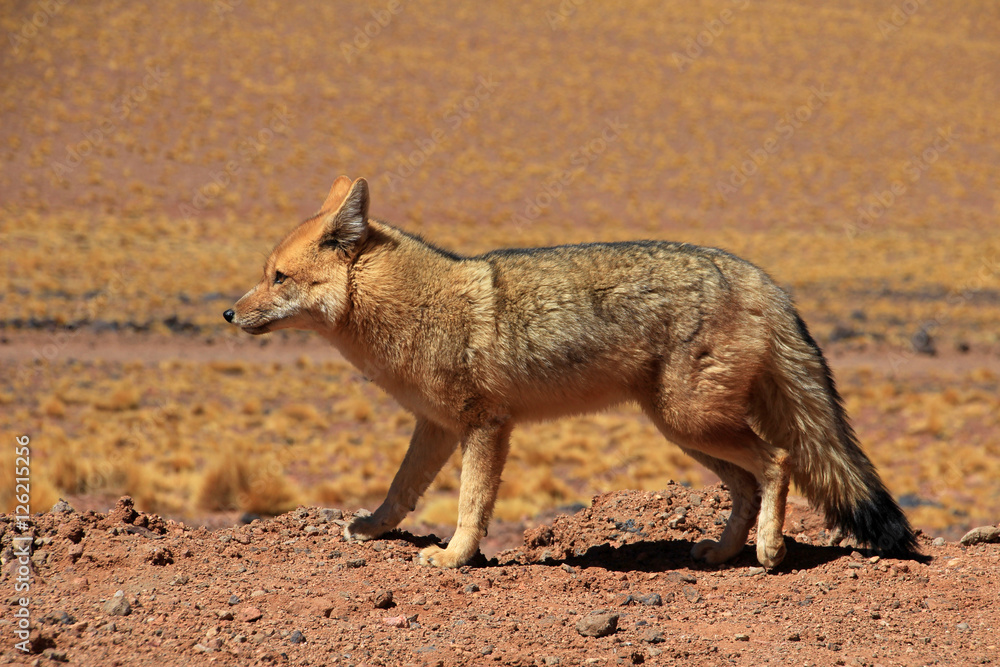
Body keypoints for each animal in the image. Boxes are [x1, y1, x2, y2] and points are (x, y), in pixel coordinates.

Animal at [224, 175, 919, 570]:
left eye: (277, 278)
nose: (229, 312)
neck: (408, 303)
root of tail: (762, 278)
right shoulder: (436, 426)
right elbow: (401, 490)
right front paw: (371, 529)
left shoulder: (486, 426)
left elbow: (471, 503)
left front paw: (454, 558)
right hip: (685, 431)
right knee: (749, 482)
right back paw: (722, 553)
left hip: (692, 422)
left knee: (777, 461)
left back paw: (770, 554)